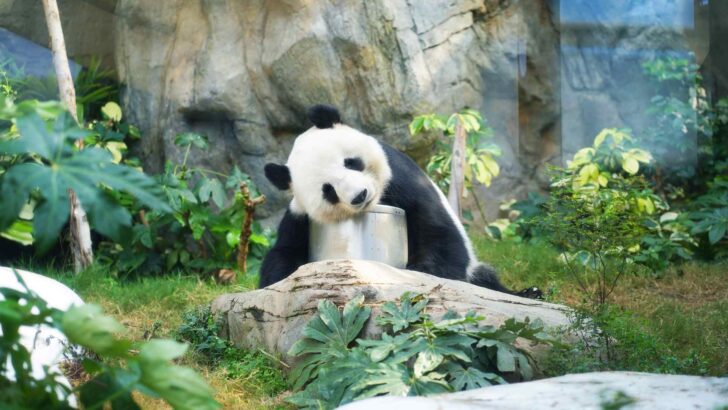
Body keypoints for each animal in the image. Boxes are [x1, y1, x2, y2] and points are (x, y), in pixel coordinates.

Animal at [260, 104, 540, 298]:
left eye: (351, 162)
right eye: (328, 191)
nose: (360, 195)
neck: (379, 198)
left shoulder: (403, 179)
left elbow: (439, 232)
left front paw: (418, 270)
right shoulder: (300, 215)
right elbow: (282, 255)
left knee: (485, 278)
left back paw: (530, 292)